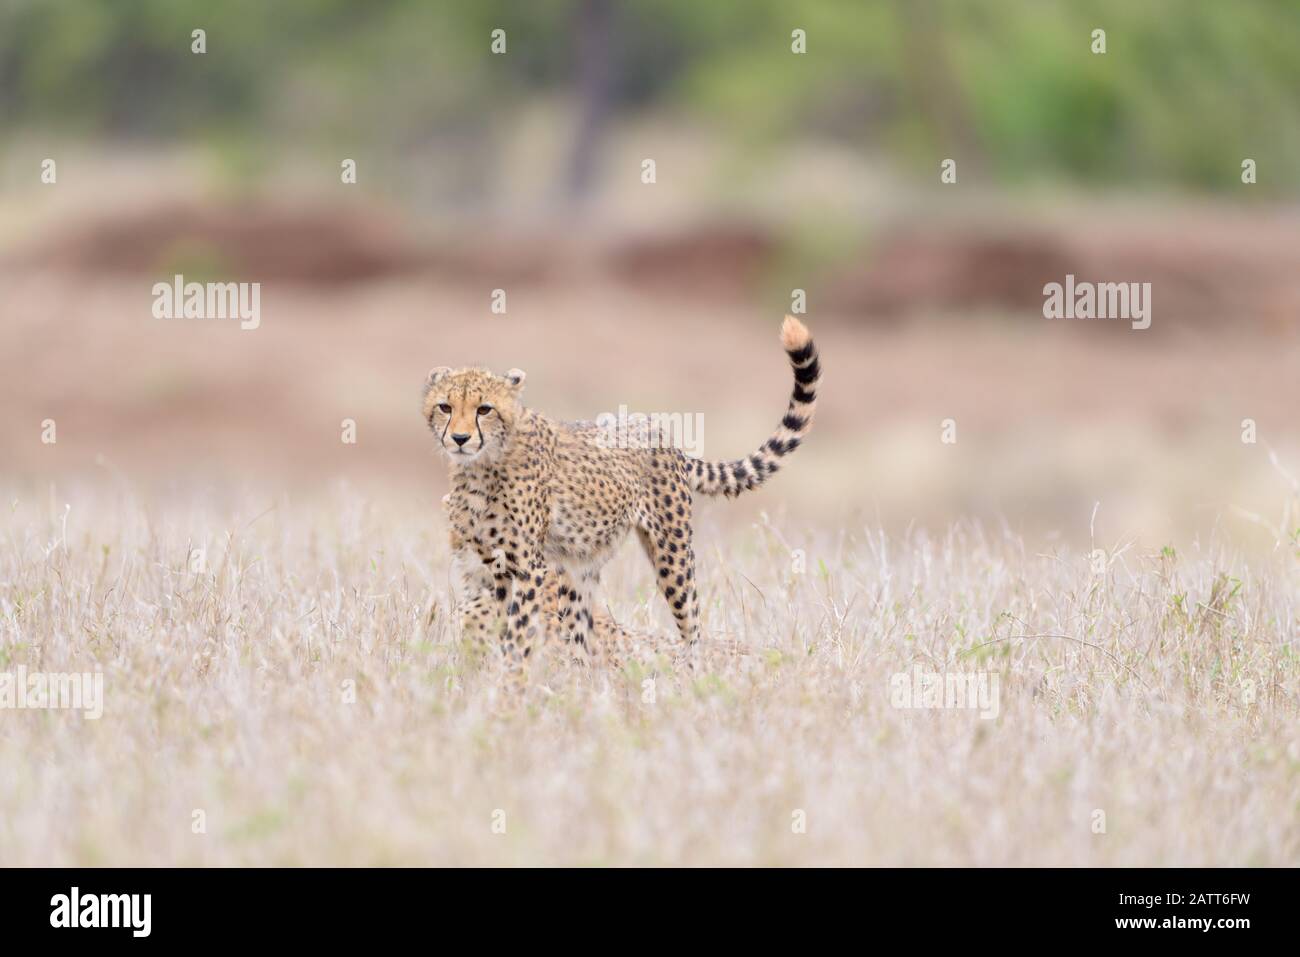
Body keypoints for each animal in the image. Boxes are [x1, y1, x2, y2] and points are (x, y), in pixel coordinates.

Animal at [423, 314, 820, 684]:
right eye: (445, 407)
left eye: (484, 409)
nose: (459, 438)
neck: (481, 465)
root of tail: (660, 432)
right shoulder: (492, 568)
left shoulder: (525, 567)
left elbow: (516, 632)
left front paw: (511, 683)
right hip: (578, 567)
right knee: (582, 636)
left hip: (672, 554)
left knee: (691, 625)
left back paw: (691, 676)